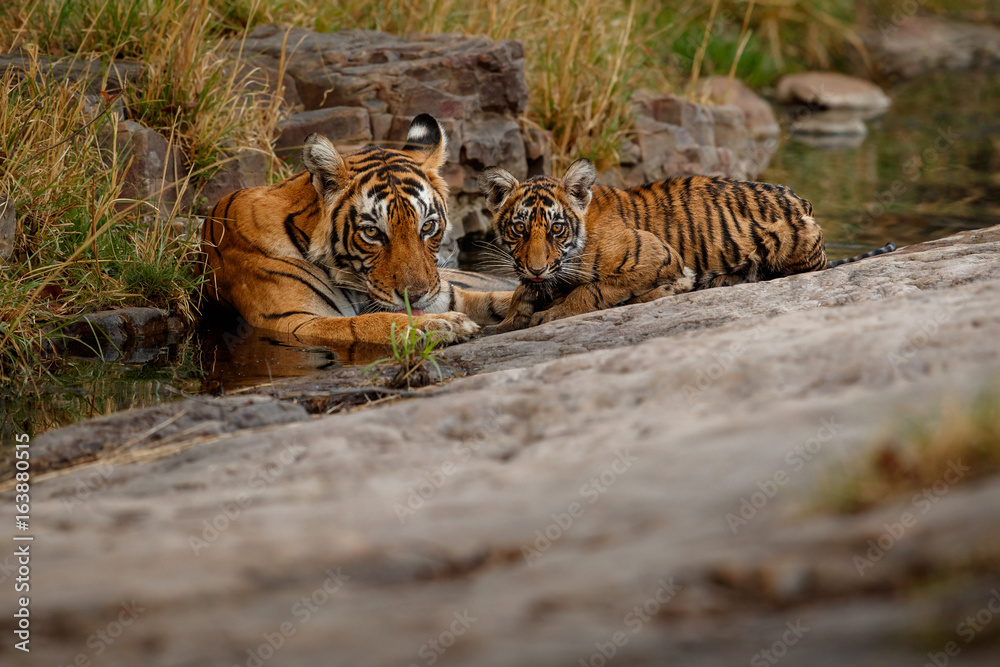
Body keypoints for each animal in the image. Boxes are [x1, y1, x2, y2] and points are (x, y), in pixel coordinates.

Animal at [199, 114, 513, 346]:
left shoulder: (446, 291)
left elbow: (493, 299)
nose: (415, 296)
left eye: (428, 226)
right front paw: (441, 324)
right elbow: (365, 322)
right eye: (372, 233)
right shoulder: (293, 322)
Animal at [478, 159, 895, 331]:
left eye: (556, 230)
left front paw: (550, 313)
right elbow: (522, 292)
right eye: (519, 230)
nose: (536, 268)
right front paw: (514, 315)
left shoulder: (655, 256)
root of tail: (801, 199)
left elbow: (592, 291)